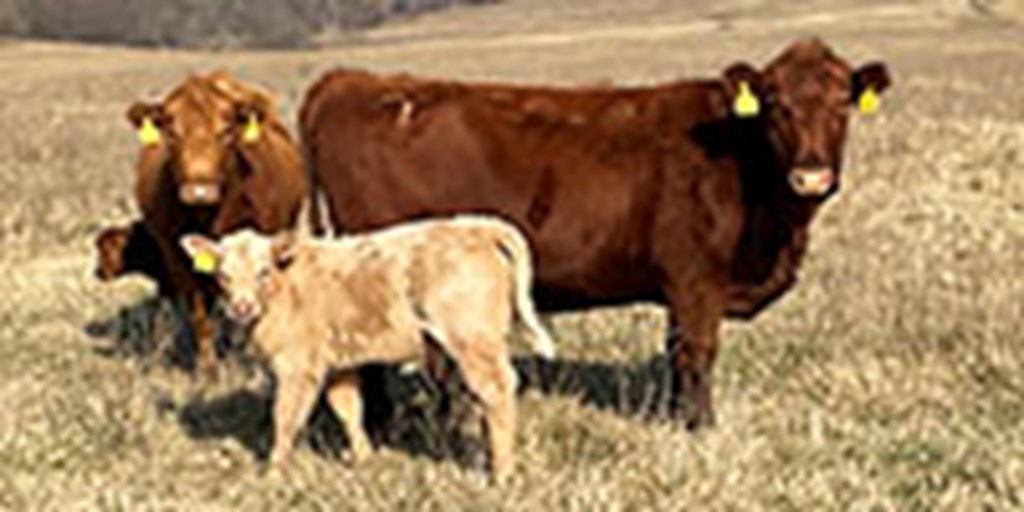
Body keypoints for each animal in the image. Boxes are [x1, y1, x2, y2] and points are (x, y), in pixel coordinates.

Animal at [123, 72, 307, 376]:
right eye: (172, 133)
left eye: (226, 132)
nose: (200, 191)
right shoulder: (176, 257)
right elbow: (199, 313)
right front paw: (208, 370)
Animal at [179, 216, 555, 481]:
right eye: (223, 275)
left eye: (263, 271)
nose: (241, 307)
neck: (284, 287)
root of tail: (478, 226)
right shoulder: (336, 362)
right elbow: (347, 407)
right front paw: (363, 456)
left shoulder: (297, 366)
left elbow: (285, 416)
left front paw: (274, 469)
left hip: (472, 338)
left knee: (496, 390)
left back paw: (501, 473)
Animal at [299, 39, 892, 429]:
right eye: (777, 106)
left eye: (842, 104)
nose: (811, 175)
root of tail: (350, 80)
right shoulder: (696, 278)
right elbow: (698, 352)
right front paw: (702, 427)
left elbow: (676, 352)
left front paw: (675, 418)